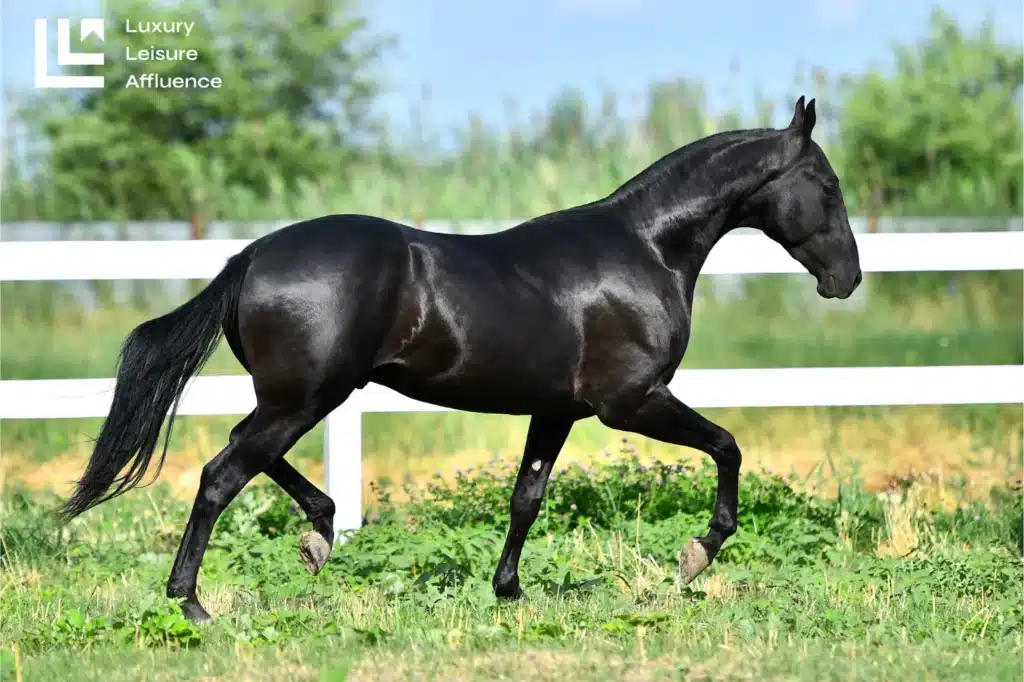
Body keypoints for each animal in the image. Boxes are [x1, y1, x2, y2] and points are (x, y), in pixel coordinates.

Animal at [59, 96, 862, 622]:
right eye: (826, 185)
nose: (847, 279)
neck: (645, 251)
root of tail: (250, 258)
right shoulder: (630, 402)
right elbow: (727, 446)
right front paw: (698, 553)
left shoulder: (557, 410)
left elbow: (526, 497)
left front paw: (509, 591)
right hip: (305, 398)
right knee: (222, 474)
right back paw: (193, 603)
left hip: (299, 396)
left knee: (243, 456)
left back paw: (318, 535)